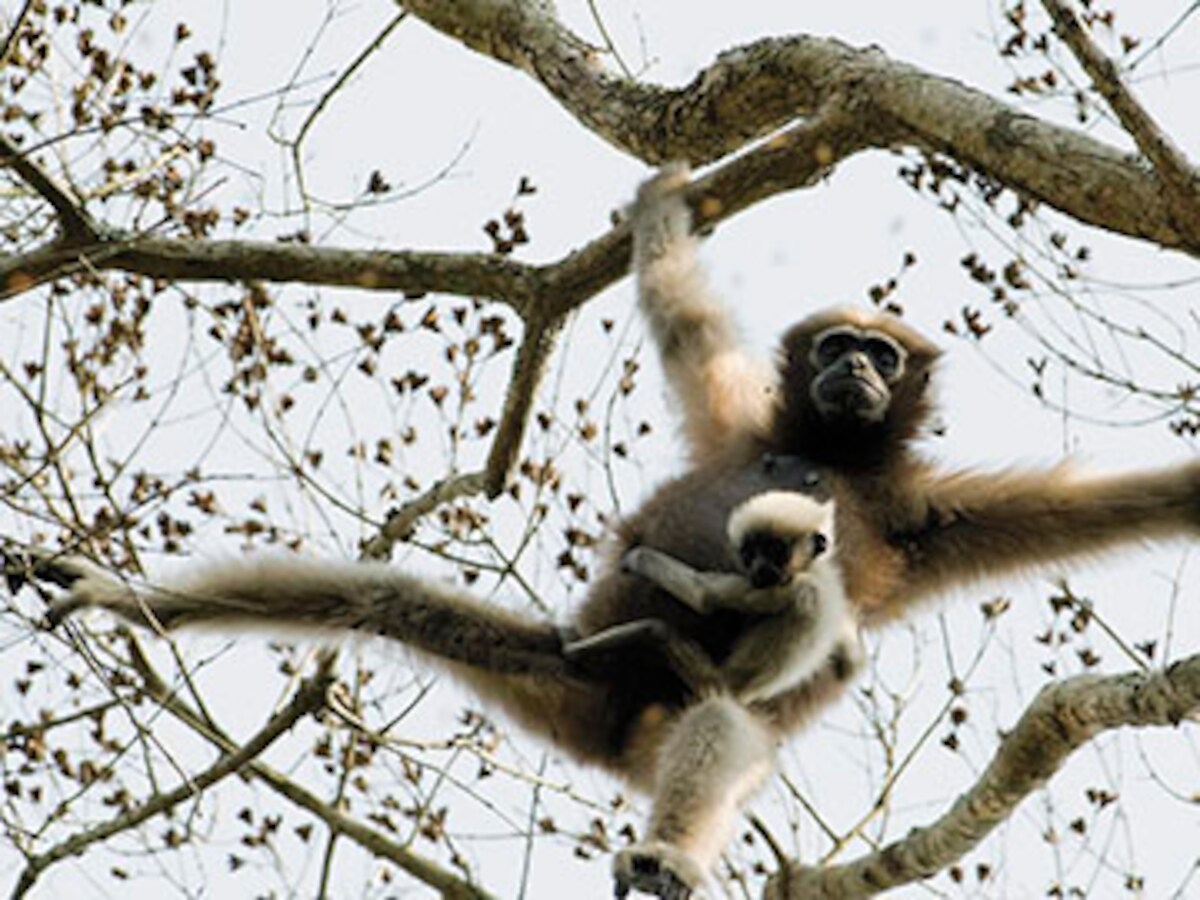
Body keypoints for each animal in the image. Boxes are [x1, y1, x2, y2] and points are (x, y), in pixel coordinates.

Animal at [20, 164, 1200, 900]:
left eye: (885, 356)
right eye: (840, 349)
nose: (856, 370)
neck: (830, 457)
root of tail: (598, 734)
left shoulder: (925, 514)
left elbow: (1134, 501)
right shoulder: (739, 427)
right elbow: (681, 312)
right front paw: (662, 208)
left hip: (648, 700)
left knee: (721, 720)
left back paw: (664, 855)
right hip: (568, 671)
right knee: (384, 599)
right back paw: (132, 601)